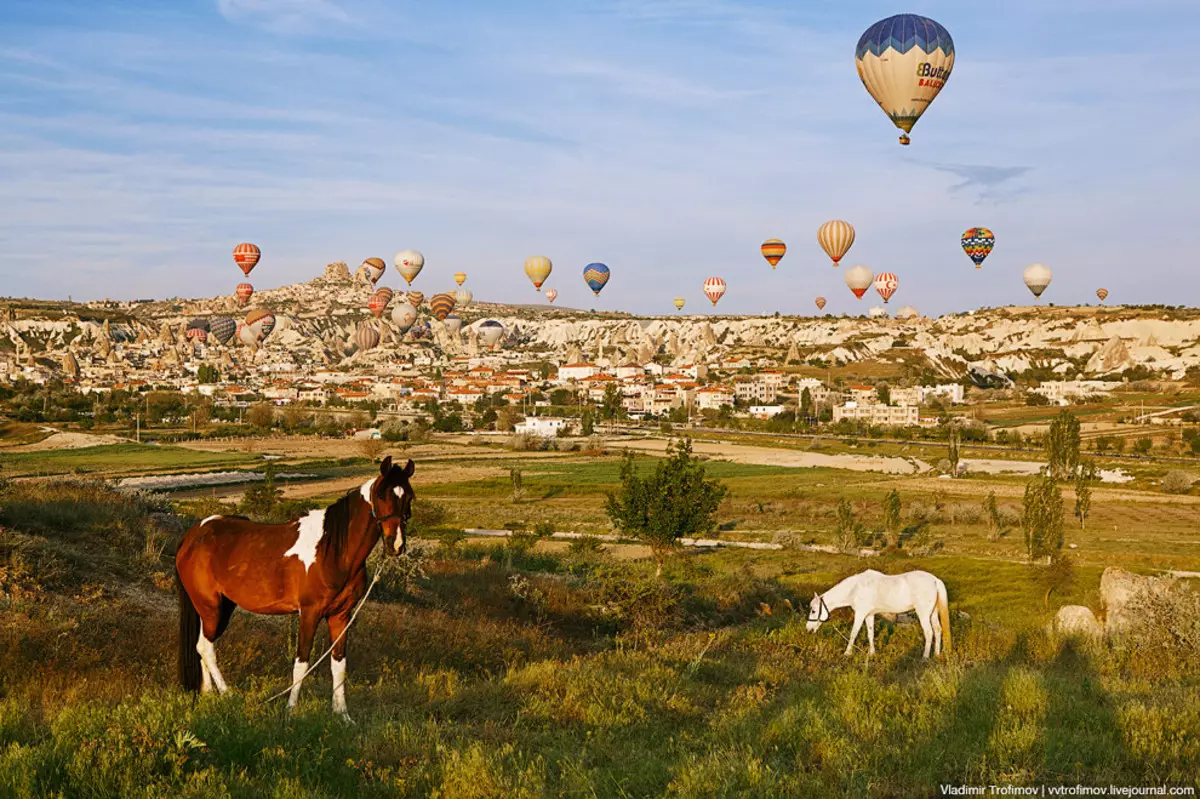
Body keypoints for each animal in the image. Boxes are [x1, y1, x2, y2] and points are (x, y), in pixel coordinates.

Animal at [175, 451, 415, 719]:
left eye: (409, 497)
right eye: (382, 495)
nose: (396, 544)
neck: (333, 550)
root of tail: (194, 535)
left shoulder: (341, 615)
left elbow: (339, 664)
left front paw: (342, 714)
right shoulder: (309, 613)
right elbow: (302, 662)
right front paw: (291, 710)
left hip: (221, 608)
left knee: (203, 646)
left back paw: (208, 695)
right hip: (210, 607)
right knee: (205, 648)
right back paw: (228, 696)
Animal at [811, 568, 950, 657]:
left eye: (813, 610)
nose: (808, 629)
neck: (855, 588)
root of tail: (935, 580)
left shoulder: (860, 614)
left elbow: (853, 633)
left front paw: (847, 653)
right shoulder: (869, 615)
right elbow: (870, 634)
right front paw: (872, 653)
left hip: (924, 614)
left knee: (929, 632)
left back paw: (925, 657)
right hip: (932, 613)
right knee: (938, 630)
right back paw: (936, 655)